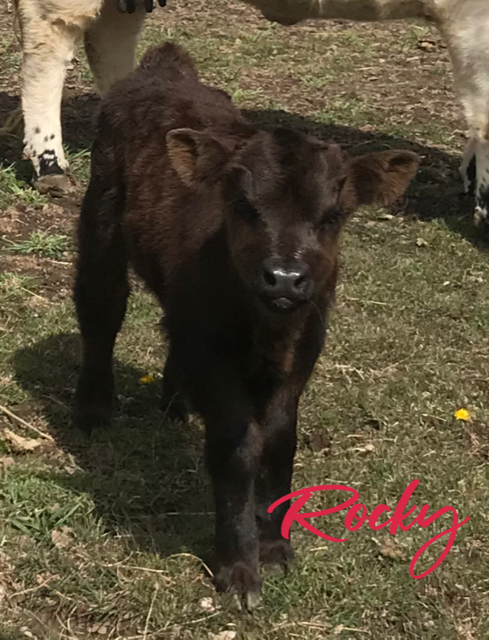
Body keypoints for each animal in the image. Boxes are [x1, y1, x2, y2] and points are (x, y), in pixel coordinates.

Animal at [73, 42, 419, 603]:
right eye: (242, 206)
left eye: (333, 216)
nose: (285, 278)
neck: (267, 329)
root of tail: (163, 68)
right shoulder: (216, 357)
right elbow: (238, 448)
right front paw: (238, 566)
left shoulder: (304, 348)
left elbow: (279, 440)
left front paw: (275, 544)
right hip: (101, 212)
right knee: (101, 306)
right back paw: (93, 408)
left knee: (169, 327)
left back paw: (175, 404)